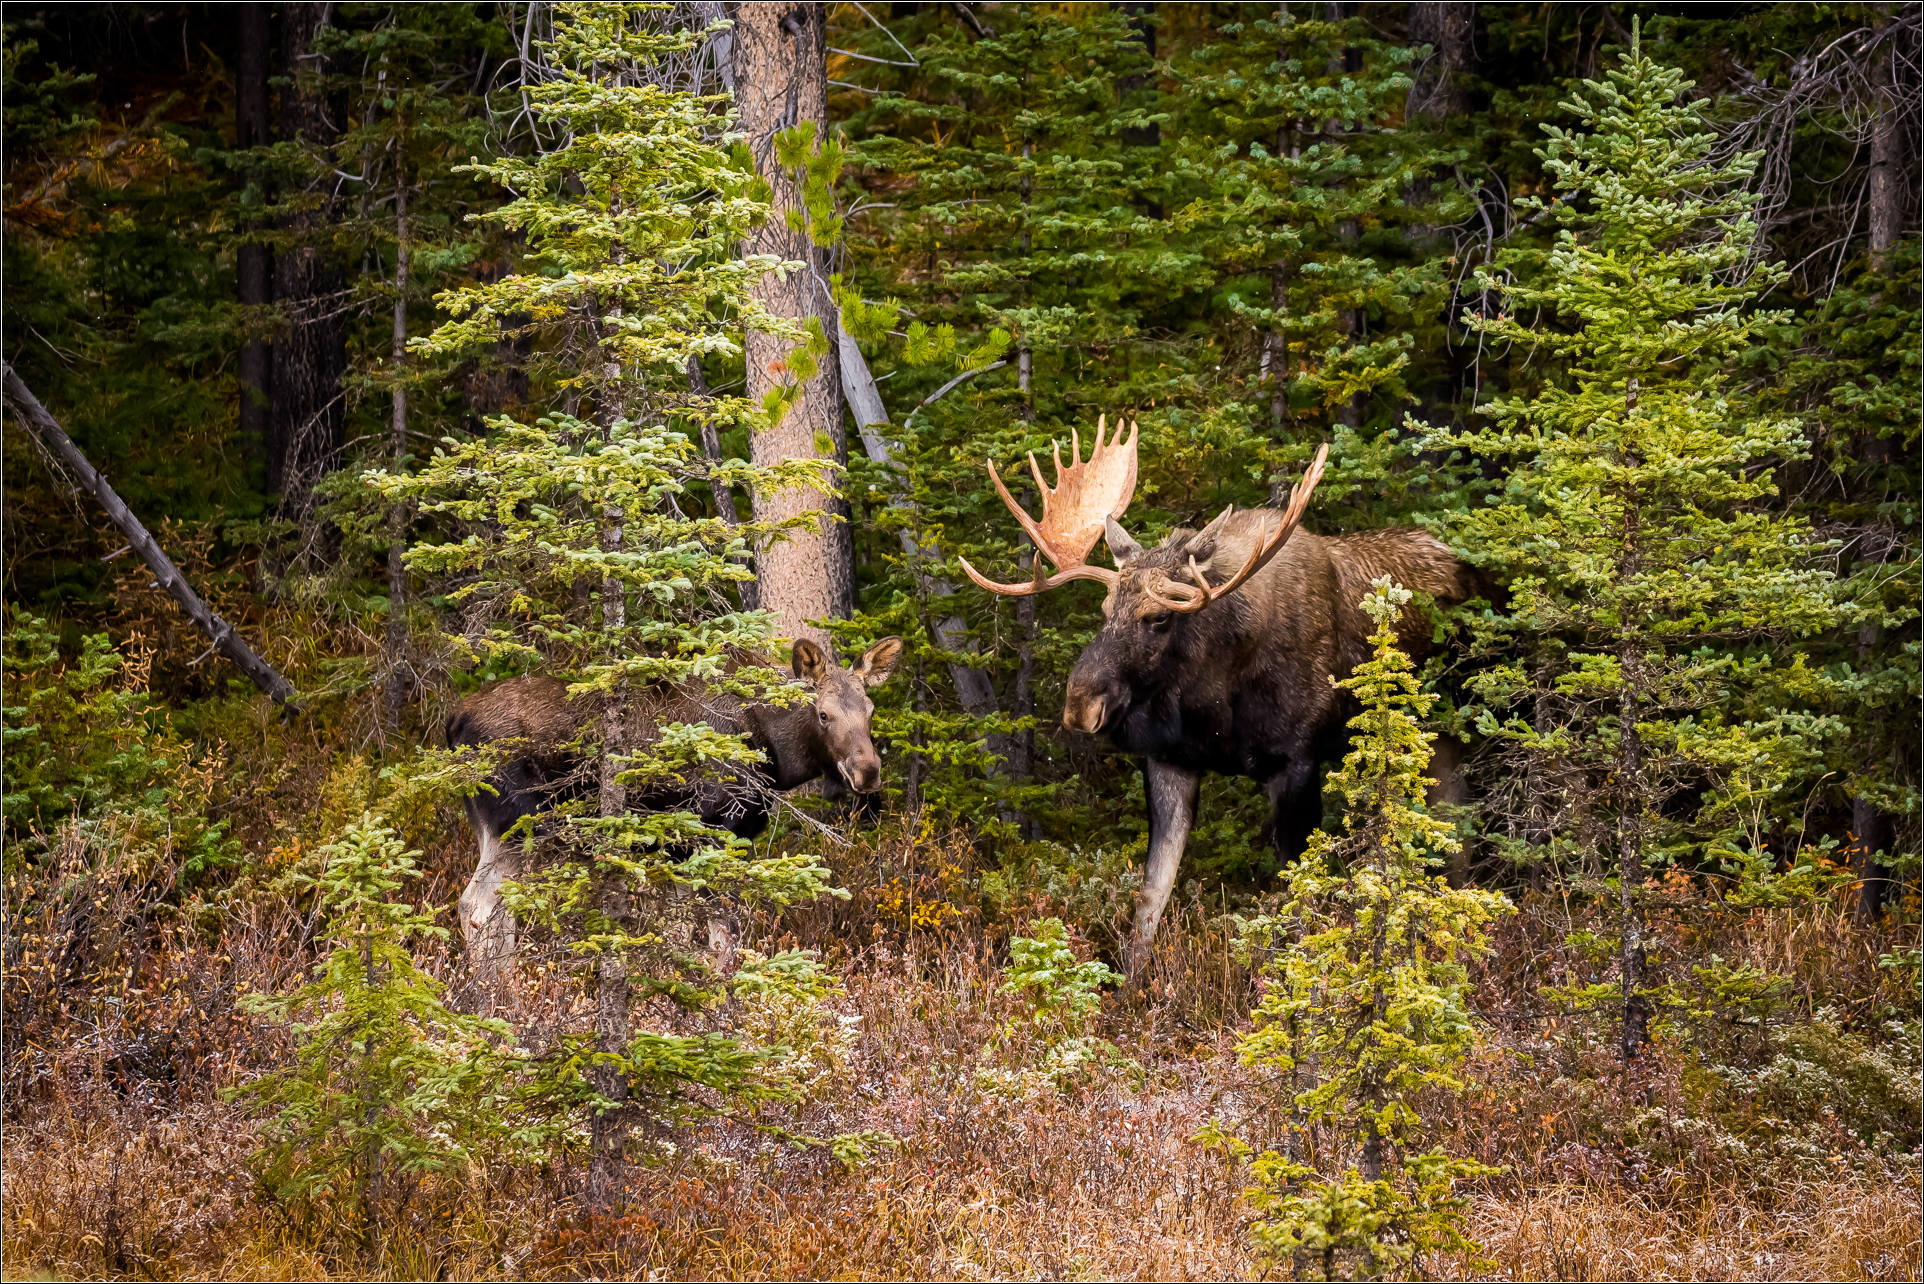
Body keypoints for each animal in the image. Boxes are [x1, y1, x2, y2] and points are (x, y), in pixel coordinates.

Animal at [445, 636, 902, 978]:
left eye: (870, 711)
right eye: (823, 714)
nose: (868, 772)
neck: (775, 753)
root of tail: (453, 723)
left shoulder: (679, 846)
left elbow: (680, 931)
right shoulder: (716, 829)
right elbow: (721, 932)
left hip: (494, 827)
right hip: (523, 823)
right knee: (482, 906)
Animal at [958, 417, 1477, 979]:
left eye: (1159, 617)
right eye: (1104, 609)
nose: (1079, 705)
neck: (1216, 696)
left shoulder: (1296, 763)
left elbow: (1300, 901)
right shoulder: (1169, 759)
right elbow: (1149, 902)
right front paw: (1131, 989)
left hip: (1452, 728)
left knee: (1459, 837)